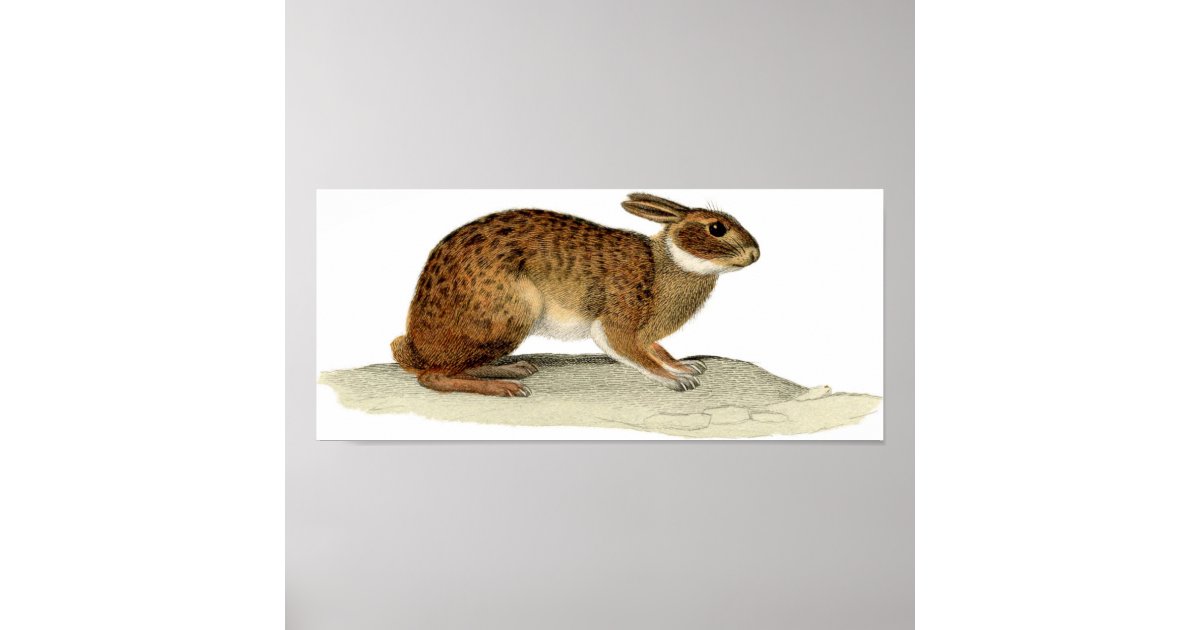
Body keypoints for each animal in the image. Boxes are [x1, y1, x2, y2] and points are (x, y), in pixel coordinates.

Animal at [390, 192, 760, 397]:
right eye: (717, 228)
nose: (756, 254)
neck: (667, 261)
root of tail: (416, 345)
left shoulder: (644, 334)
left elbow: (655, 350)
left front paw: (686, 366)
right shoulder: (617, 321)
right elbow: (634, 354)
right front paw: (675, 380)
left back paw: (515, 369)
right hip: (512, 313)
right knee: (433, 377)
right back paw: (506, 387)